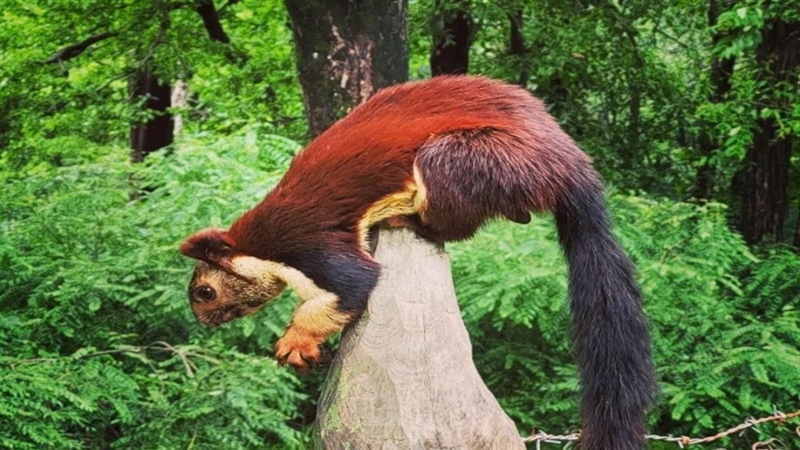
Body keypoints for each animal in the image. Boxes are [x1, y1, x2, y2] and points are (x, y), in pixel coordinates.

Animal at [180, 75, 656, 450]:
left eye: (205, 291)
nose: (202, 323)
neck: (262, 247)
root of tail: (569, 169)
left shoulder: (311, 244)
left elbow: (349, 285)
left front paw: (295, 344)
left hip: (459, 159)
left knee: (457, 221)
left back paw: (408, 218)